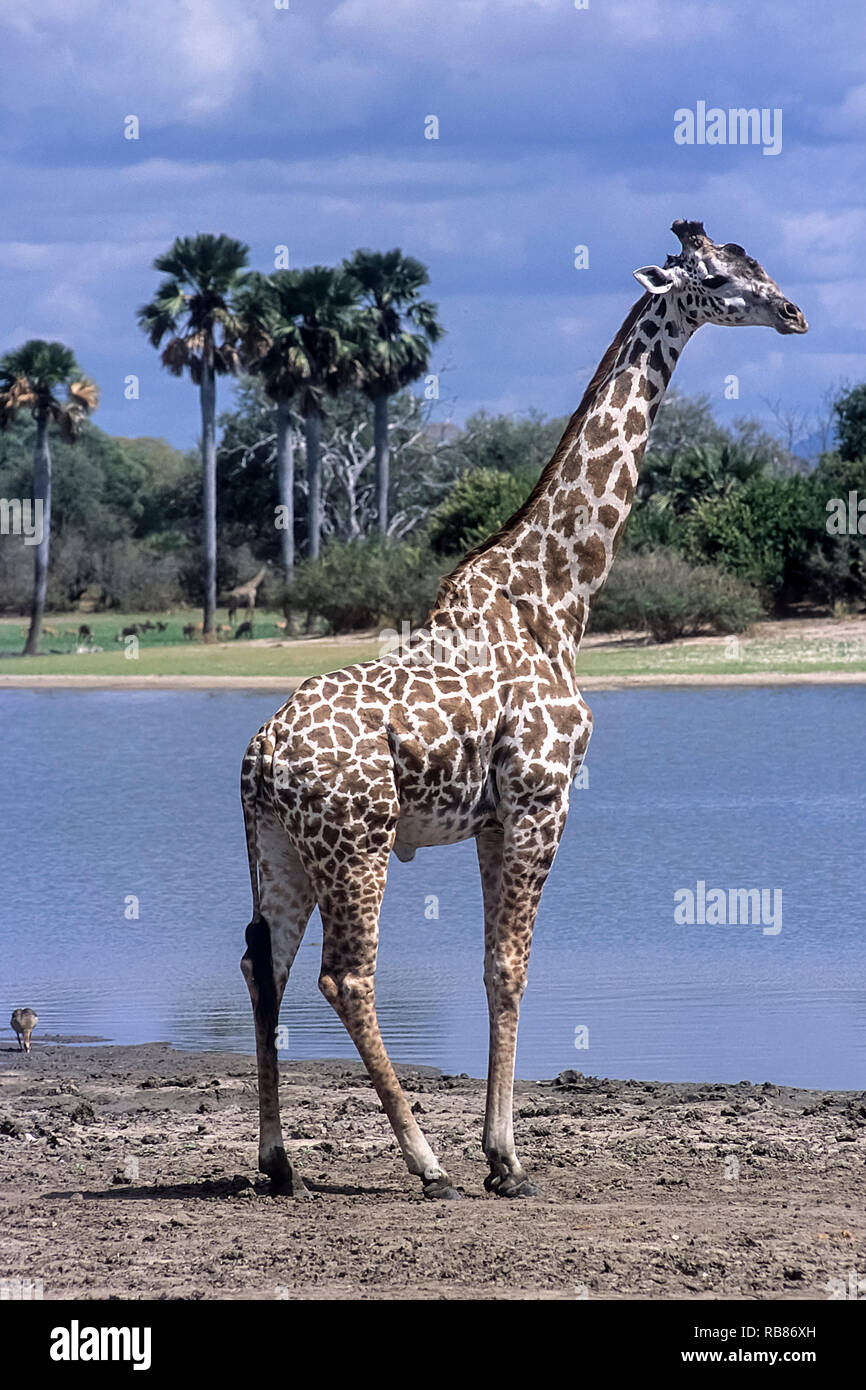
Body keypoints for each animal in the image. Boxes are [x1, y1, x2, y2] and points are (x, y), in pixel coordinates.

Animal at [240, 221, 807, 1199]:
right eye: (718, 276)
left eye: (755, 263)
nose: (794, 312)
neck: (558, 599)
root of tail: (262, 757)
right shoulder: (545, 797)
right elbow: (513, 966)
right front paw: (505, 1161)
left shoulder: (494, 816)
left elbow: (490, 967)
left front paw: (500, 1149)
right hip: (357, 842)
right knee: (344, 977)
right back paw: (424, 1162)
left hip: (278, 846)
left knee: (261, 966)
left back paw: (280, 1164)